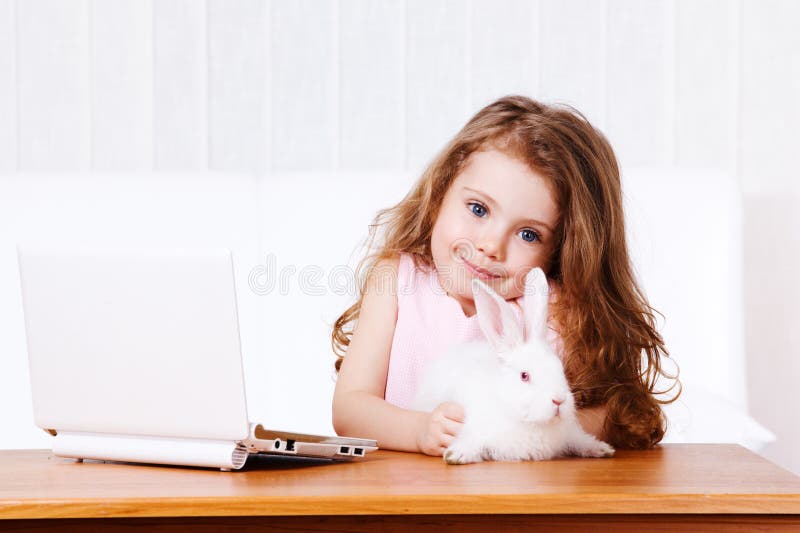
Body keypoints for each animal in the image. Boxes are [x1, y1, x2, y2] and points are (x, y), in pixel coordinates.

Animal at [411, 267, 615, 464]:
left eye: (561, 370)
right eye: (524, 376)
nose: (558, 400)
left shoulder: (570, 433)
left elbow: (580, 439)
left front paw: (602, 449)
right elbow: (472, 440)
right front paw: (457, 455)